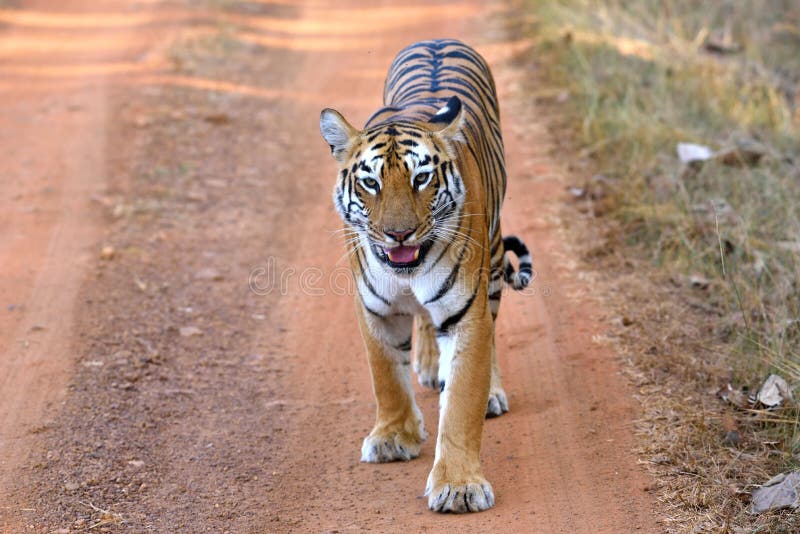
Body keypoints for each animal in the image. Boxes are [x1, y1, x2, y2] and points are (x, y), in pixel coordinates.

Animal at [319, 38, 532, 513]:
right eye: (371, 183)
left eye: (421, 178)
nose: (399, 233)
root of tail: (437, 40)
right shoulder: (375, 309)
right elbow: (386, 376)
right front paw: (393, 437)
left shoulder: (466, 313)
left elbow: (461, 404)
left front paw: (459, 486)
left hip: (492, 265)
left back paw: (489, 393)